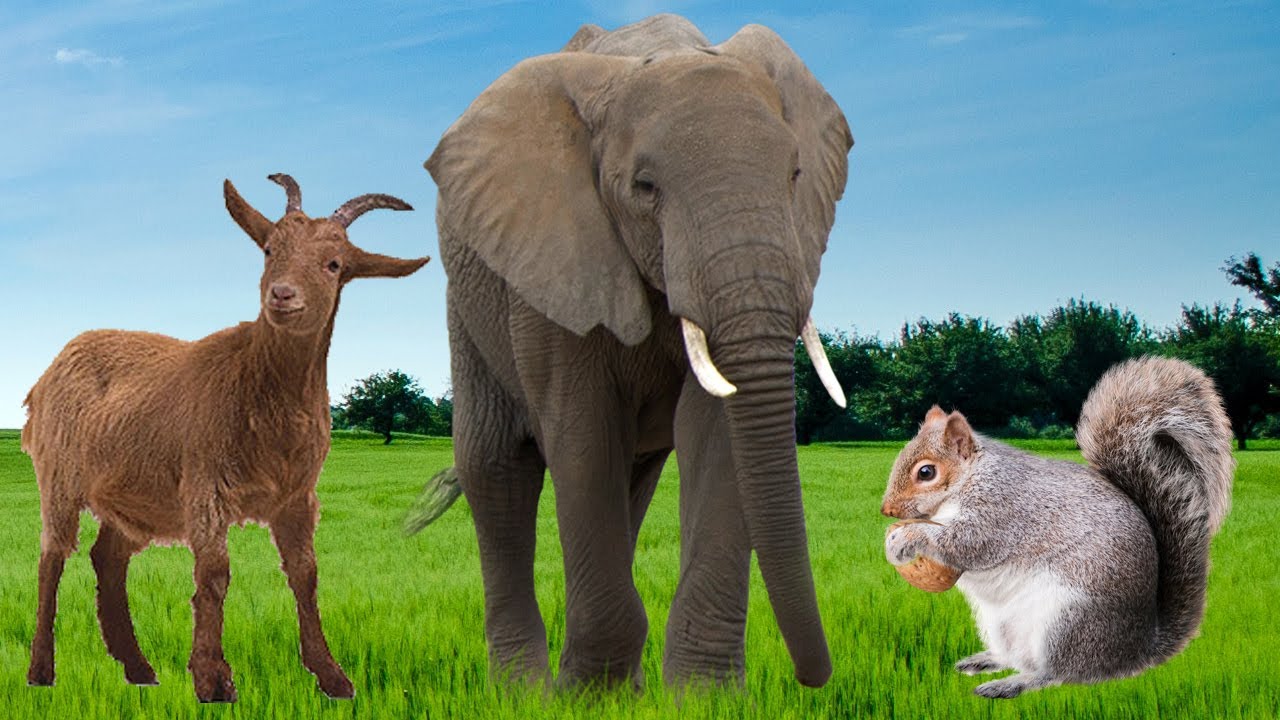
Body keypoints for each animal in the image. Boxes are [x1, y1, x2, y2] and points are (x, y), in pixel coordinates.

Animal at [21, 174, 428, 702]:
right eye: (270, 248)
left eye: (334, 264)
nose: (282, 295)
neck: (253, 380)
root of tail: (46, 375)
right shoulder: (205, 486)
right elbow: (214, 575)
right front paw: (213, 679)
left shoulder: (297, 497)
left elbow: (306, 576)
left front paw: (332, 676)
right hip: (59, 476)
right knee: (51, 558)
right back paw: (41, 670)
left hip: (133, 495)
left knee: (107, 559)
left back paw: (137, 668)